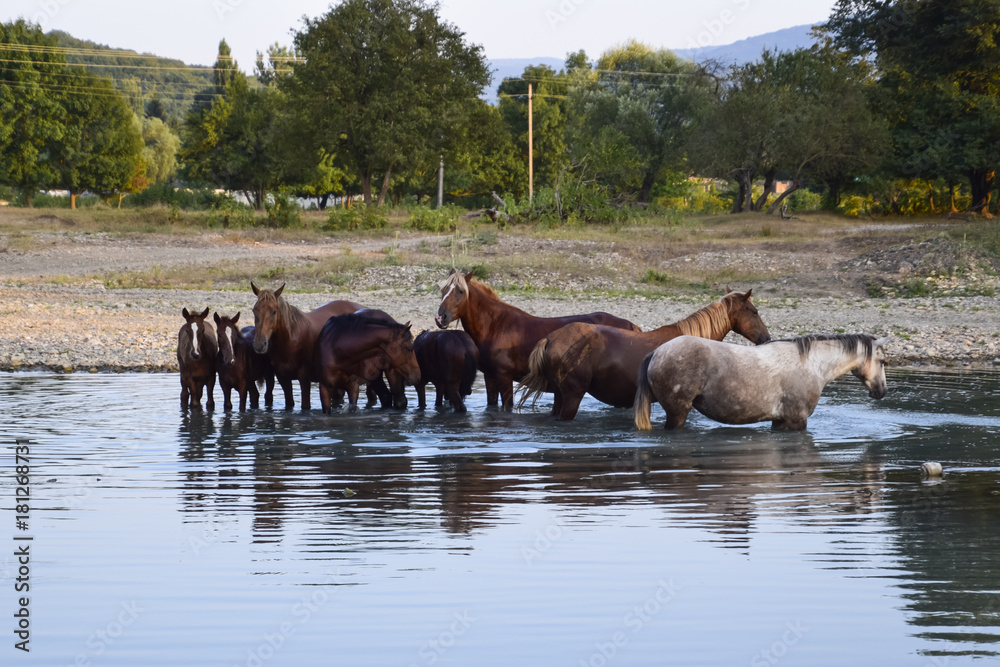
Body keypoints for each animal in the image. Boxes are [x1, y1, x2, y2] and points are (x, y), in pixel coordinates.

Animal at [250, 282, 363, 410]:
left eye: (274, 311)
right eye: (254, 311)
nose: (259, 344)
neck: (290, 340)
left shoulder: (304, 378)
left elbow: (305, 406)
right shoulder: (283, 378)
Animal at [434, 269, 640, 409]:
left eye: (460, 291)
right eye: (443, 290)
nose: (440, 318)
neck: (496, 326)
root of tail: (631, 326)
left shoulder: (504, 376)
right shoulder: (490, 376)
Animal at [633, 333, 889, 431]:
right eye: (883, 361)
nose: (882, 391)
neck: (811, 364)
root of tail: (657, 352)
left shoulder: (781, 421)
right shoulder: (797, 420)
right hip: (677, 413)